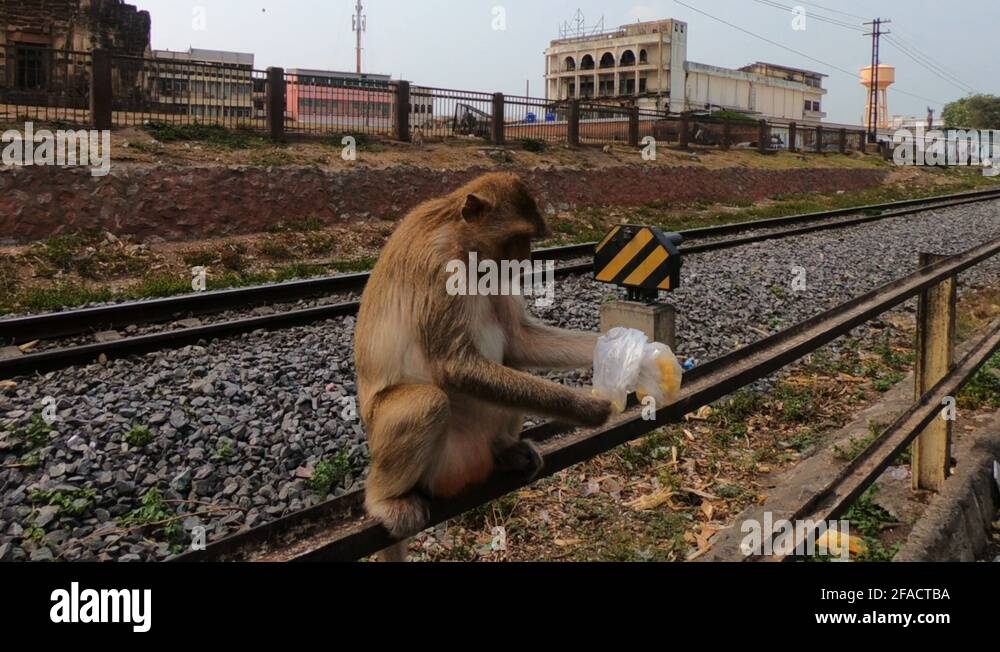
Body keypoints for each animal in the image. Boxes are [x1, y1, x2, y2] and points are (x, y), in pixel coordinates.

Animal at [354, 172, 613, 548]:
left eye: (529, 240)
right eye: (518, 239)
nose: (526, 260)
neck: (464, 248)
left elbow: (520, 342)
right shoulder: (438, 265)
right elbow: (454, 366)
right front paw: (587, 408)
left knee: (512, 365)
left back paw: (505, 450)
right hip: (438, 466)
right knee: (427, 401)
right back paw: (385, 499)